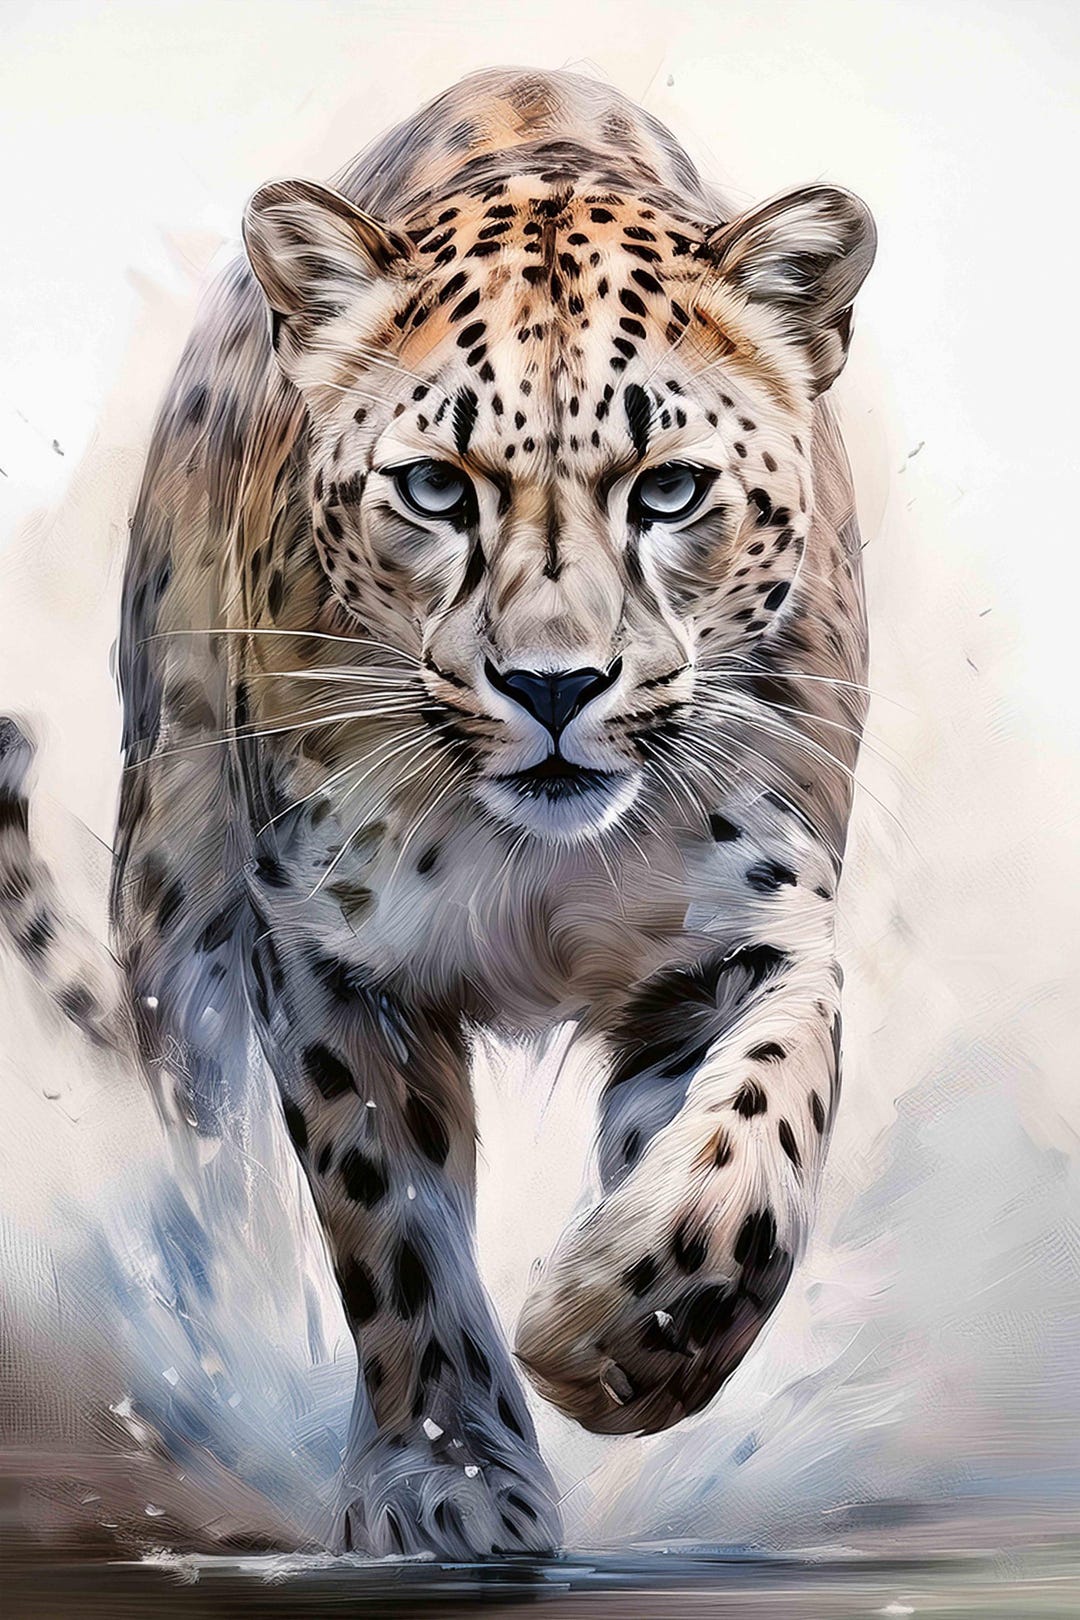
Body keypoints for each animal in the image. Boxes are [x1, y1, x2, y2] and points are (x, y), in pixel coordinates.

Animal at [0, 67, 875, 1559]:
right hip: (175, 893)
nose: (554, 684)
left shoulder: (745, 929)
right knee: (212, 1157)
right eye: (433, 486)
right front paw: (446, 1476)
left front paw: (619, 1341)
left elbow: (755, 1136)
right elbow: (390, 1226)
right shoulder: (330, 959)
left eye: (670, 488)